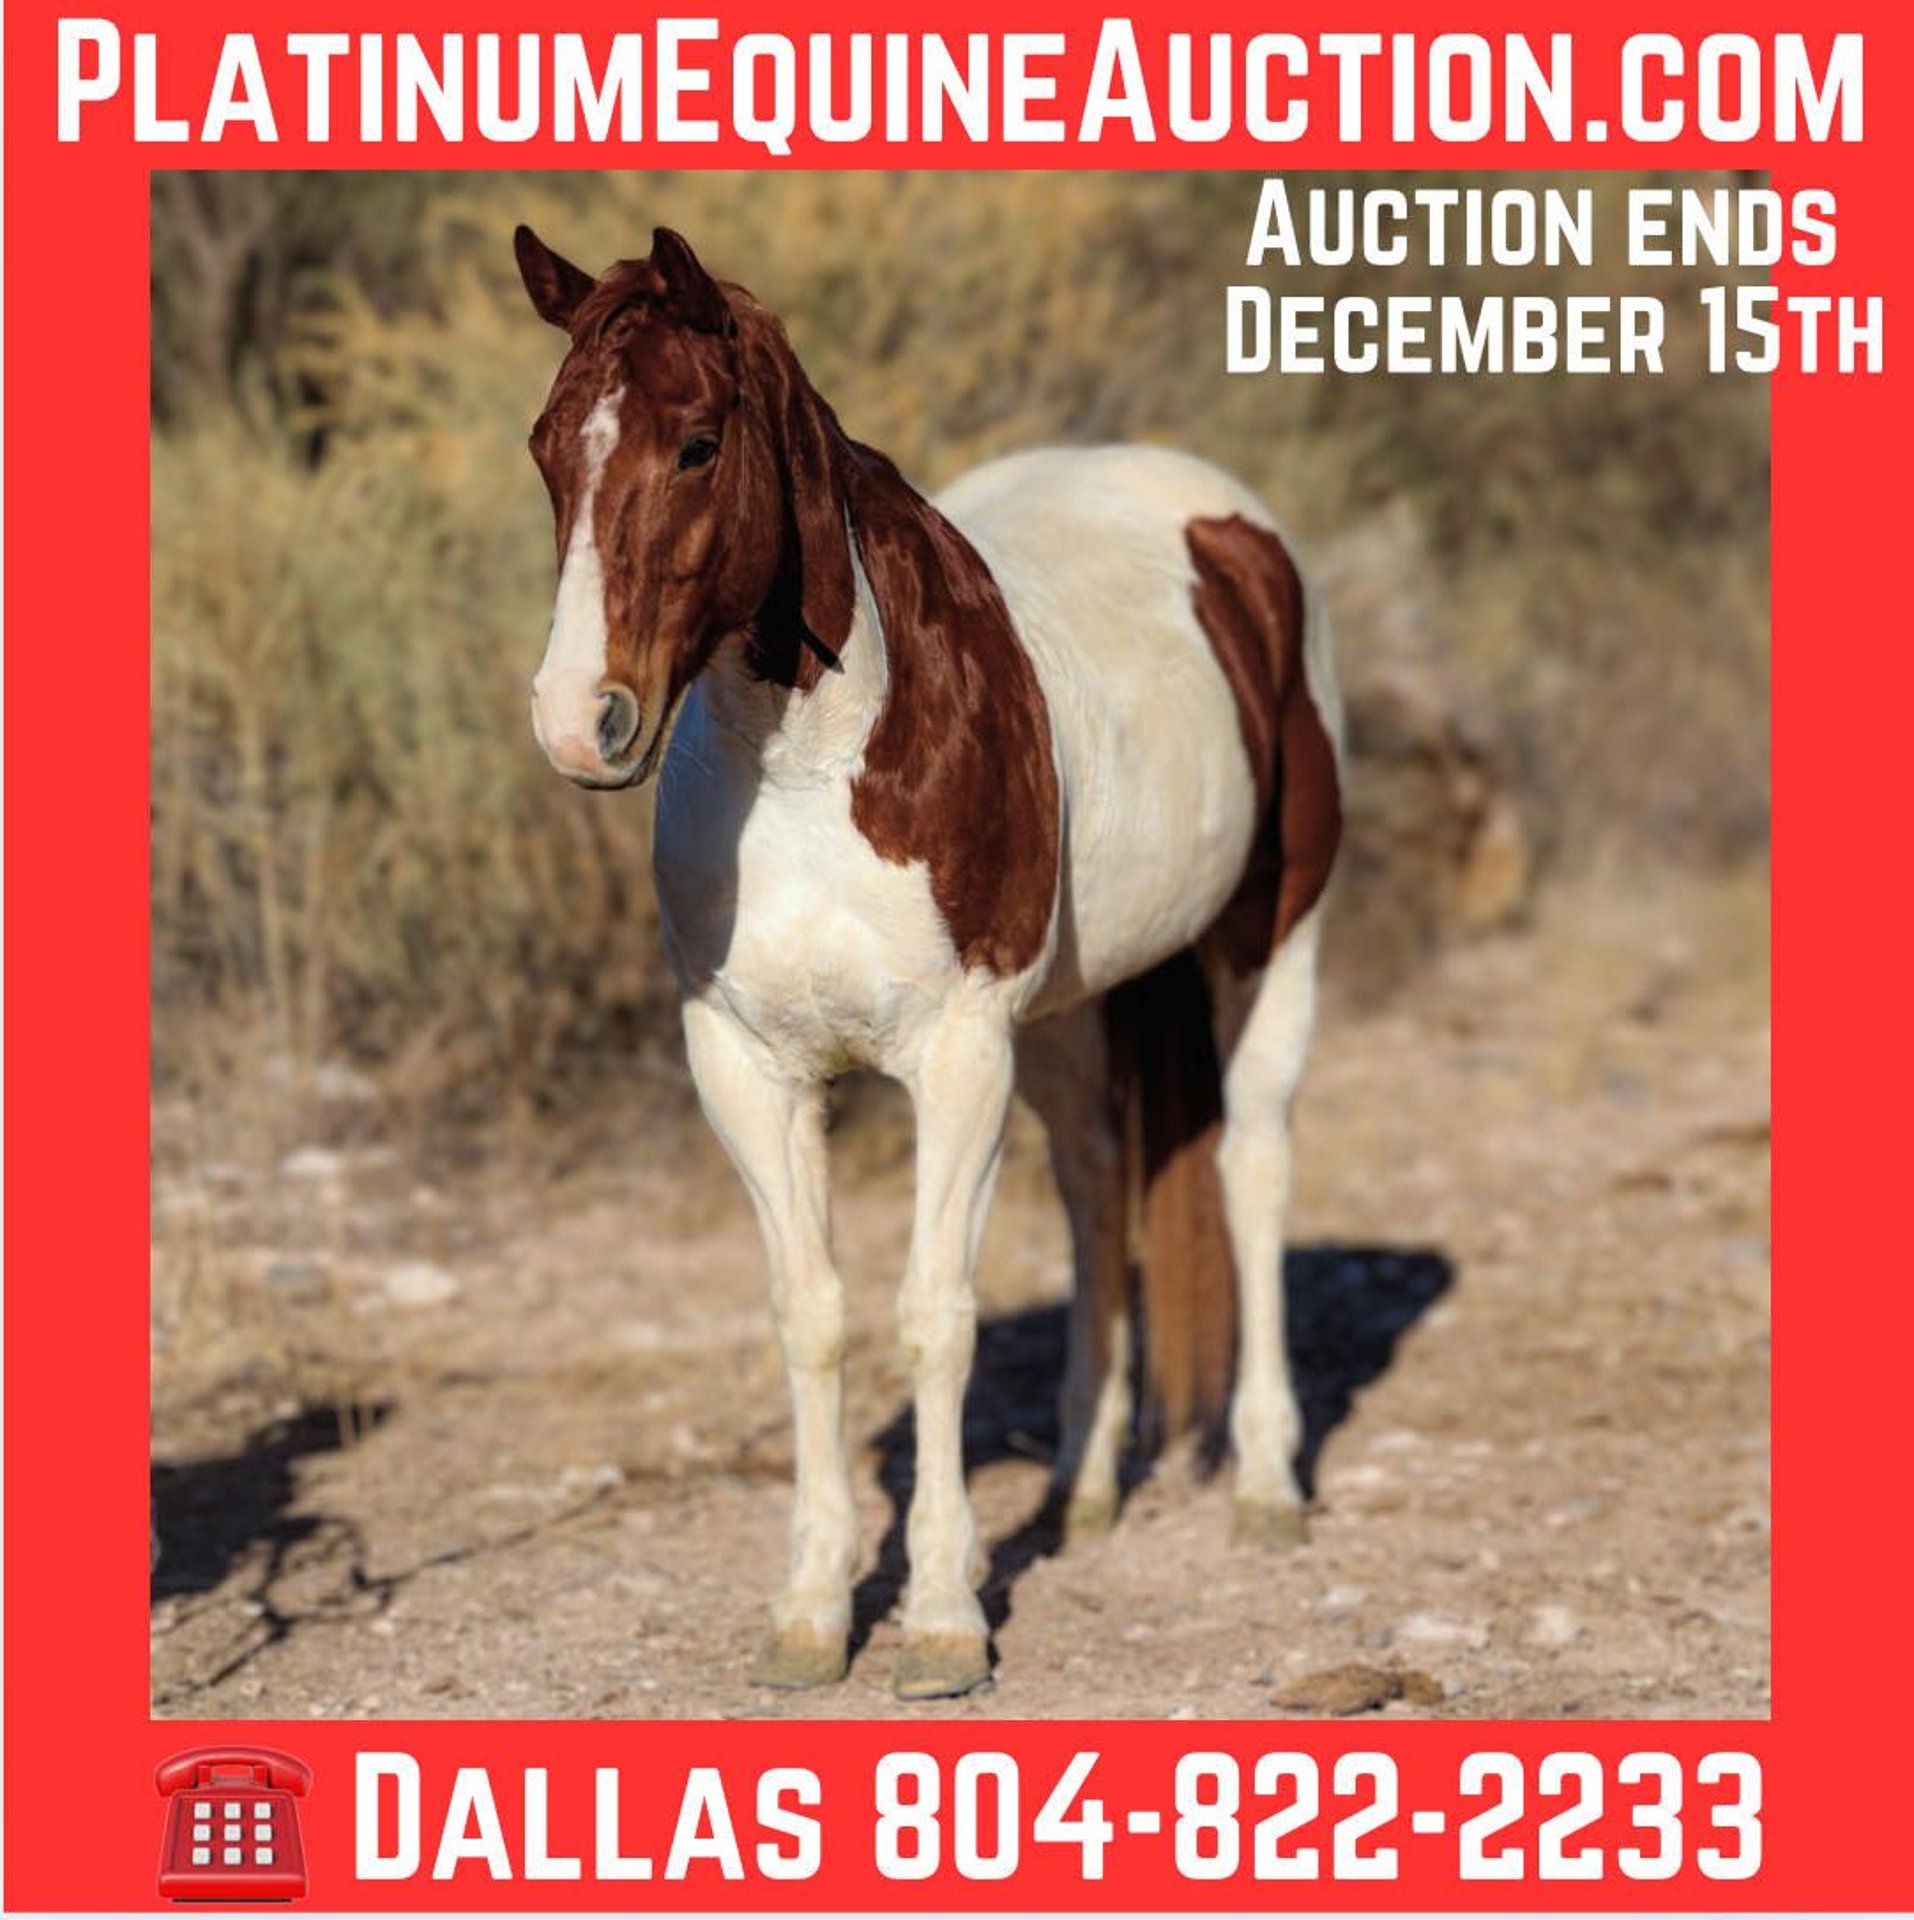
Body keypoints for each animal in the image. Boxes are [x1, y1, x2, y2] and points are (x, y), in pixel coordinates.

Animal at [513, 224, 1344, 1700]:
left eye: (696, 444)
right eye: (549, 448)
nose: (575, 721)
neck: (817, 765)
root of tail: (1235, 534)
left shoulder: (956, 1057)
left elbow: (932, 1315)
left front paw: (947, 1619)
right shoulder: (747, 1066)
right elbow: (812, 1315)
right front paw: (809, 1609)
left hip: (1268, 941)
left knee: (1252, 1169)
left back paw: (1262, 1482)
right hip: (1064, 1015)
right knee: (1097, 1184)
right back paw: (1081, 1487)